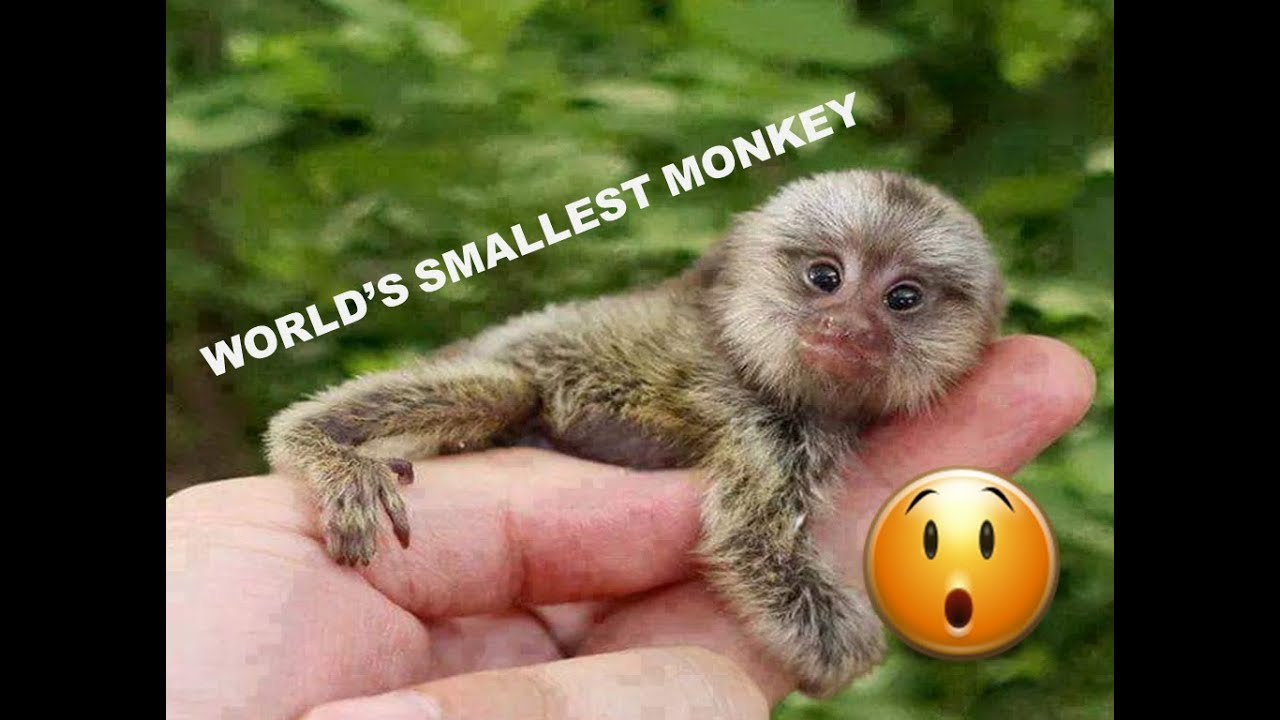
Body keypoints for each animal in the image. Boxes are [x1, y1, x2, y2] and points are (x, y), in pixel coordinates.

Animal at [265, 169, 1005, 696]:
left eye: (902, 298)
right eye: (826, 277)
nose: (848, 329)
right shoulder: (763, 423)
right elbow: (752, 542)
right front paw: (845, 653)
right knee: (506, 389)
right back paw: (320, 448)